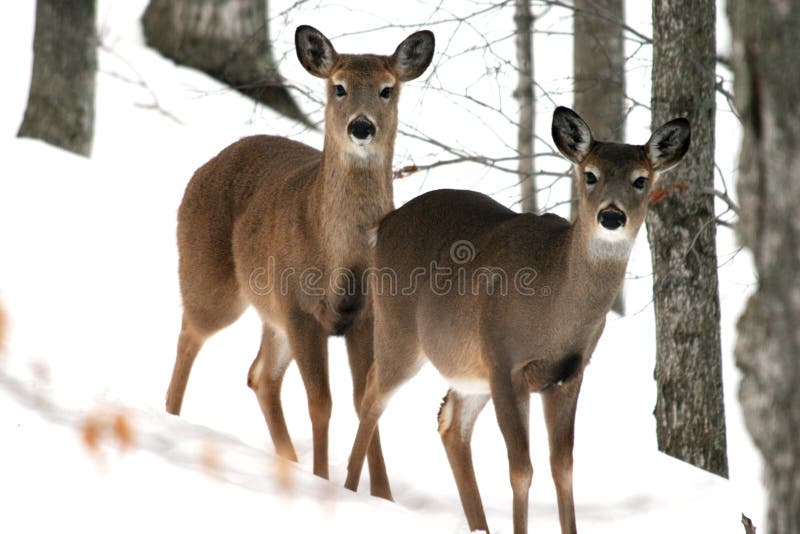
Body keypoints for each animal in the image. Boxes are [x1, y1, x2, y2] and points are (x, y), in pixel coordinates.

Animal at [166, 25, 435, 500]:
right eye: (338, 87)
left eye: (387, 89)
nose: (361, 126)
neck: (341, 256)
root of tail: (204, 167)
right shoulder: (302, 309)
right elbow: (320, 402)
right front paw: (324, 482)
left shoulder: (364, 317)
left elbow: (364, 401)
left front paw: (381, 496)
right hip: (210, 278)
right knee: (189, 336)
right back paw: (171, 418)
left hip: (272, 315)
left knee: (259, 374)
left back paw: (287, 462)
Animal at [344, 106, 690, 533]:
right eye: (590, 174)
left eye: (640, 179)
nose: (611, 216)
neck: (555, 310)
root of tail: (385, 222)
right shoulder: (505, 363)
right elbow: (521, 470)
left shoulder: (568, 375)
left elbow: (563, 468)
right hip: (400, 330)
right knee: (372, 394)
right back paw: (347, 491)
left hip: (469, 369)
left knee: (449, 423)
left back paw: (477, 525)